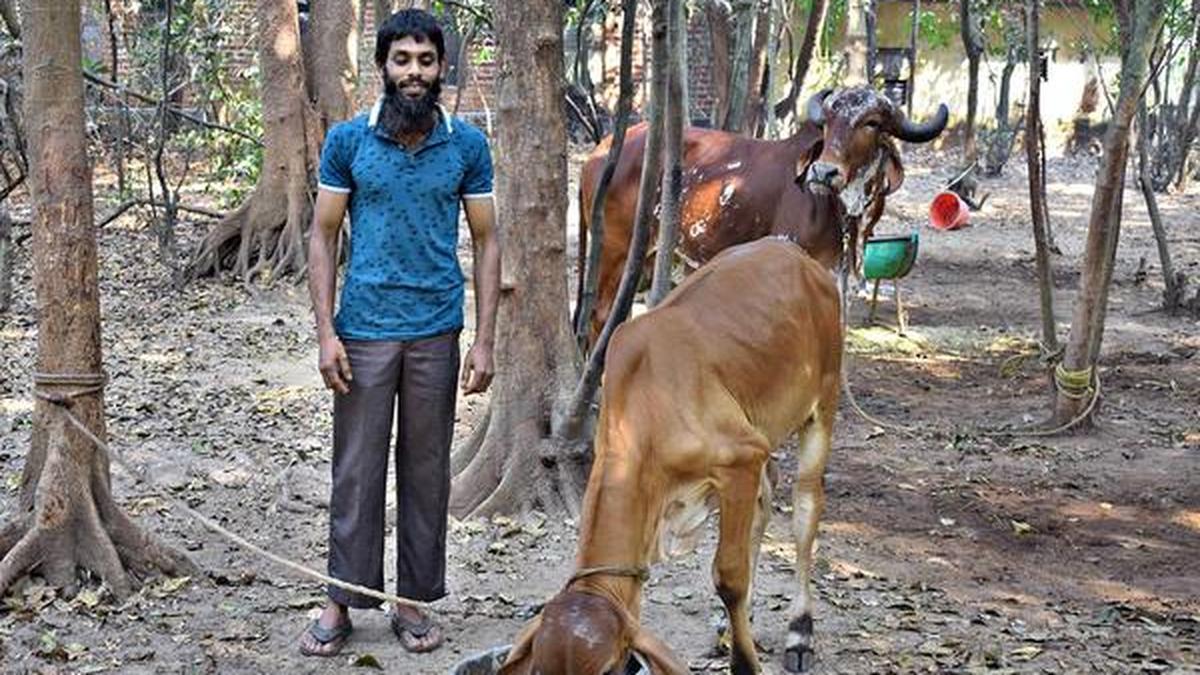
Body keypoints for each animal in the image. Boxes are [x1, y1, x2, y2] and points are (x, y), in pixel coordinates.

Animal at [502, 237, 845, 675]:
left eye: (606, 670)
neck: (644, 406)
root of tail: (796, 253)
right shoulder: (746, 456)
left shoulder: (739, 459)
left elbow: (728, 575)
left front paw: (744, 661)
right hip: (765, 428)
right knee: (767, 498)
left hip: (822, 403)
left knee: (805, 509)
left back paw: (800, 632)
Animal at [576, 86, 949, 345]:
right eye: (828, 123)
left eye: (871, 123)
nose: (824, 172)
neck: (843, 214)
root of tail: (601, 150)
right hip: (615, 247)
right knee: (600, 312)